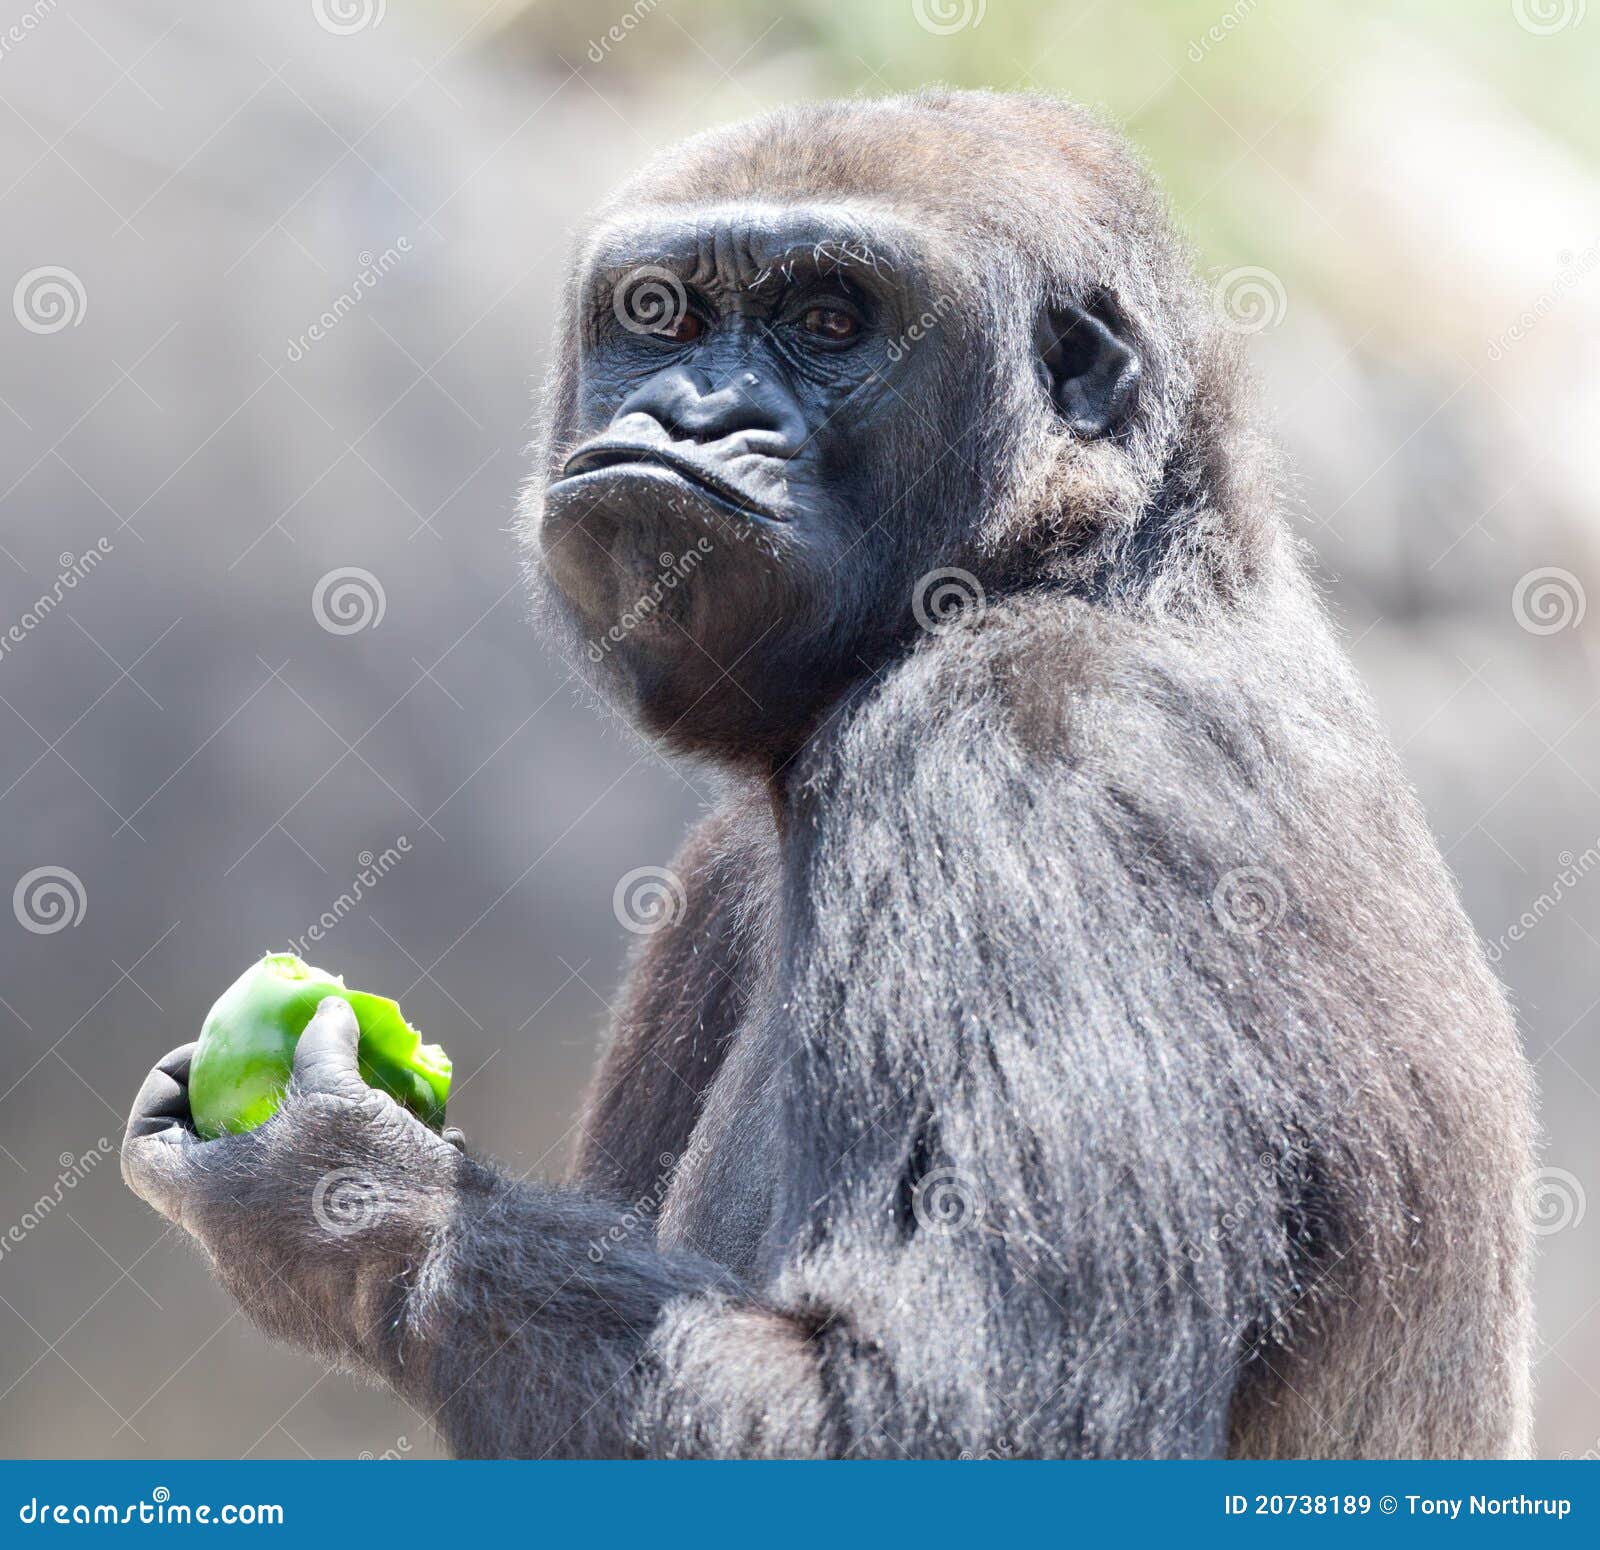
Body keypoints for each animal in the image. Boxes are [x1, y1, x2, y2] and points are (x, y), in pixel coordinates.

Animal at [123, 89, 1535, 1459]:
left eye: (829, 319)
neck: (1105, 559)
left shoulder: (1018, 752)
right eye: (658, 313)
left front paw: (338, 1193)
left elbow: (962, 1422)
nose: (693, 414)